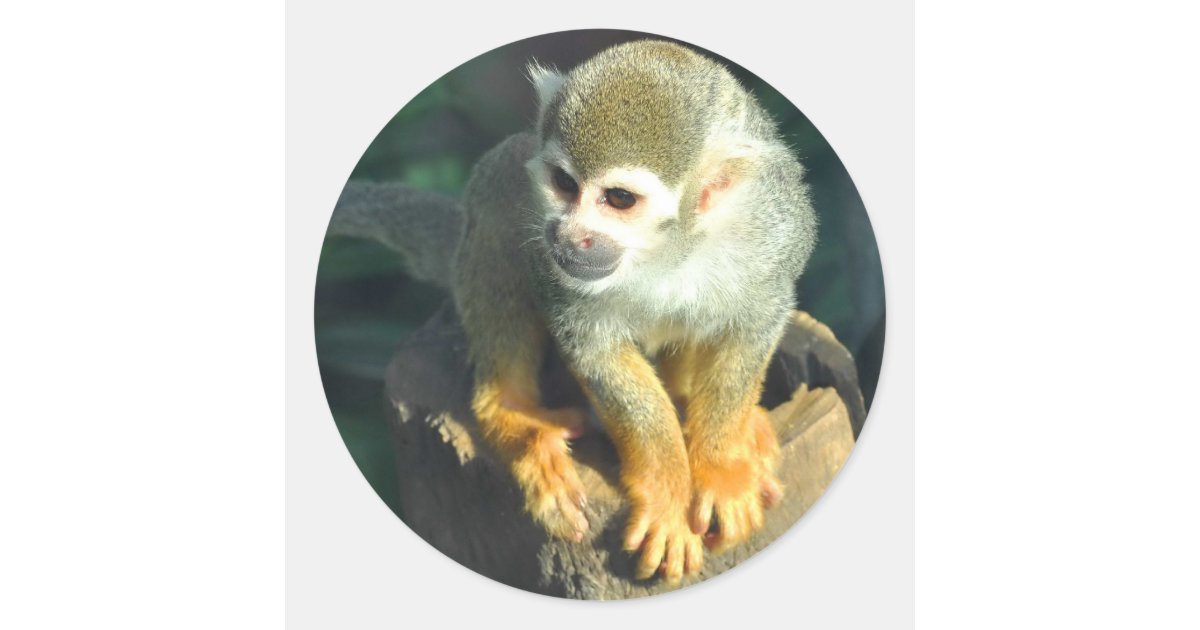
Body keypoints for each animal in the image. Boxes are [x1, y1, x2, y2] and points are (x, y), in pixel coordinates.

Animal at [332, 39, 817, 584]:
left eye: (619, 199)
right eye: (565, 183)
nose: (569, 236)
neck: (665, 249)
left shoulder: (773, 232)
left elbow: (753, 325)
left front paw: (721, 465)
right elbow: (594, 348)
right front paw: (667, 490)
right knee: (501, 187)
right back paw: (511, 413)